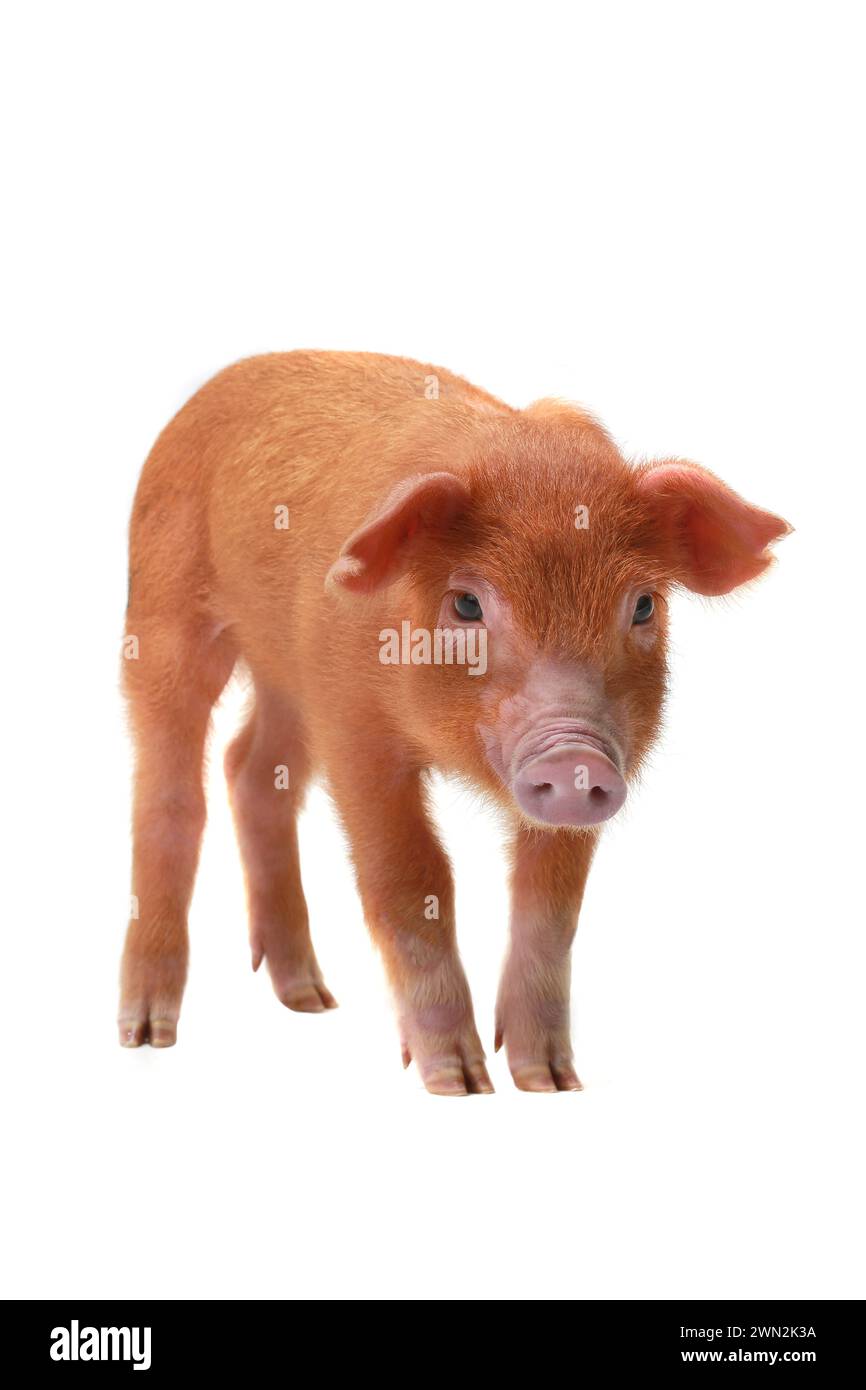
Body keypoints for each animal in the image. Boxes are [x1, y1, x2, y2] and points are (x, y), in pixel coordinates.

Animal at [119, 352, 789, 1093]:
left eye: (643, 604)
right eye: (467, 604)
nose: (575, 759)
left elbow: (551, 904)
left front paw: (550, 1081)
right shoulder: (353, 725)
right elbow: (412, 878)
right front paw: (458, 1082)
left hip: (284, 675)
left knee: (252, 768)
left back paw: (311, 1001)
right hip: (163, 609)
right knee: (171, 790)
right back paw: (148, 1033)